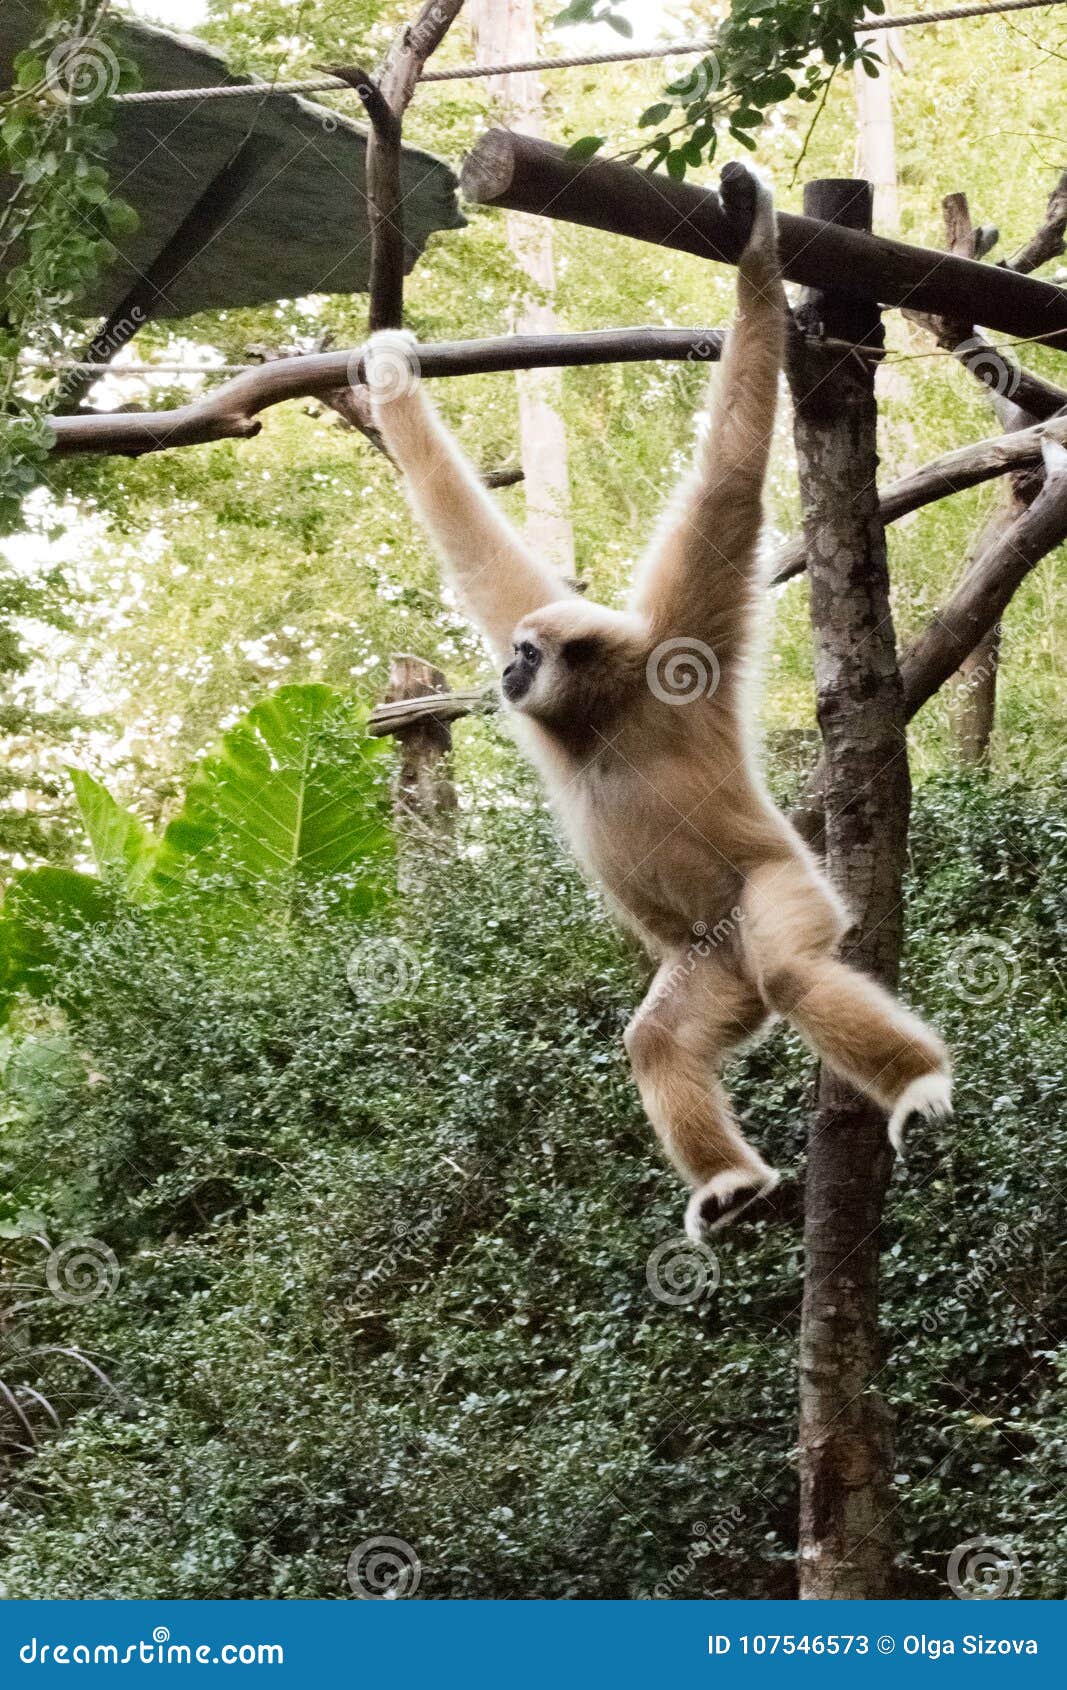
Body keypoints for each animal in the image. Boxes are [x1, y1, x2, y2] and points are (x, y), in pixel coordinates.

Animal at [364, 161, 951, 1241]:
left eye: (526, 653)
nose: (508, 673)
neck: (599, 720)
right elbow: (469, 540)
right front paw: (388, 375)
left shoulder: (683, 639)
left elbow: (726, 483)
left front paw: (756, 243)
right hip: (705, 966)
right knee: (663, 1039)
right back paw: (732, 1185)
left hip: (781, 895)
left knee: (794, 971)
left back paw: (916, 1086)